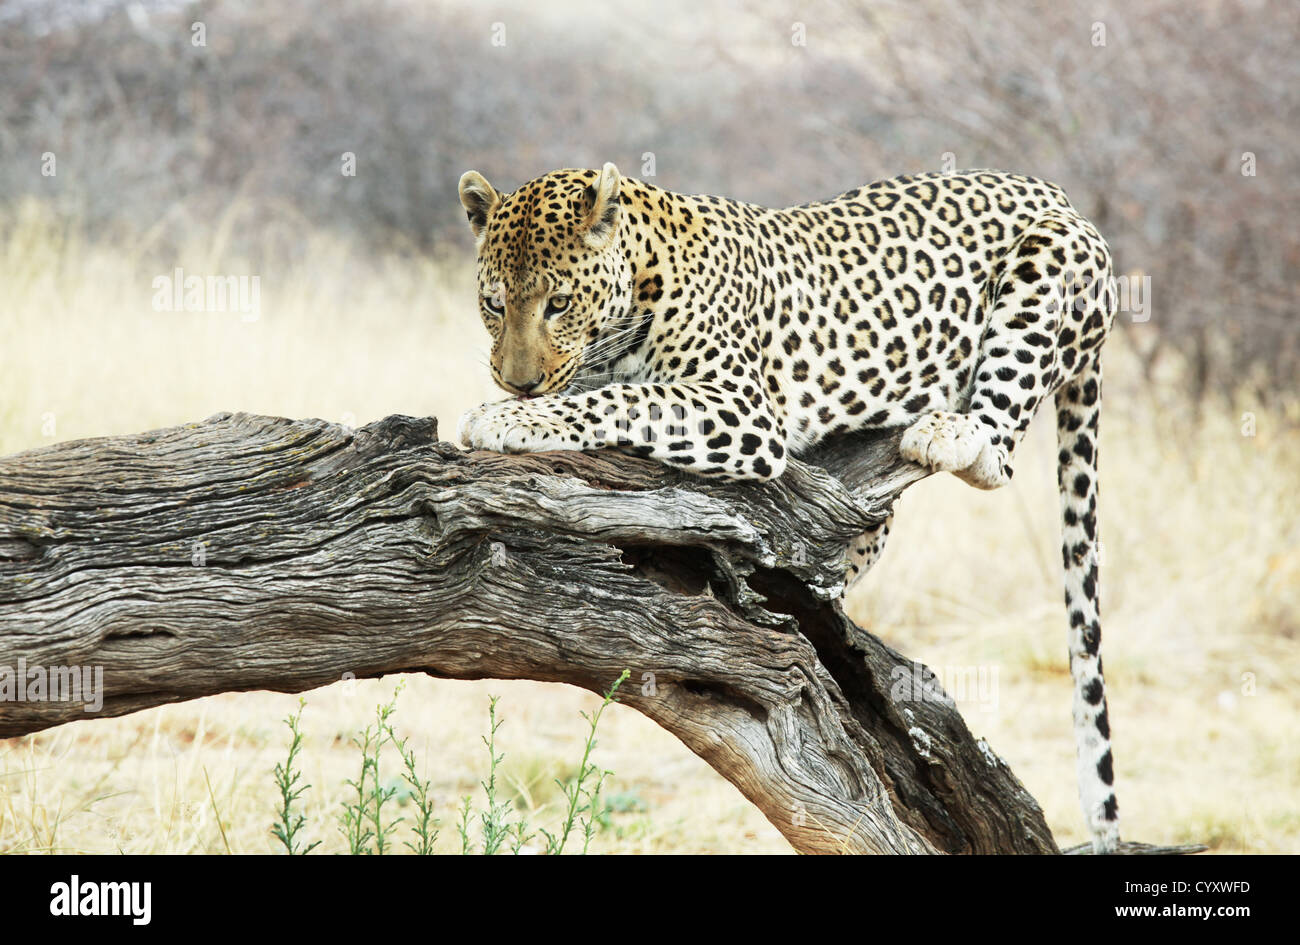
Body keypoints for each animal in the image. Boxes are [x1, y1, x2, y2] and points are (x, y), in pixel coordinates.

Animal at [455, 162, 1120, 853]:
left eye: (558, 303)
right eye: (494, 305)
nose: (517, 381)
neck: (640, 276)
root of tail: (1055, 191)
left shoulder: (739, 406)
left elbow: (621, 399)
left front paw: (508, 418)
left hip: (1044, 266)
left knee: (998, 453)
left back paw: (949, 432)